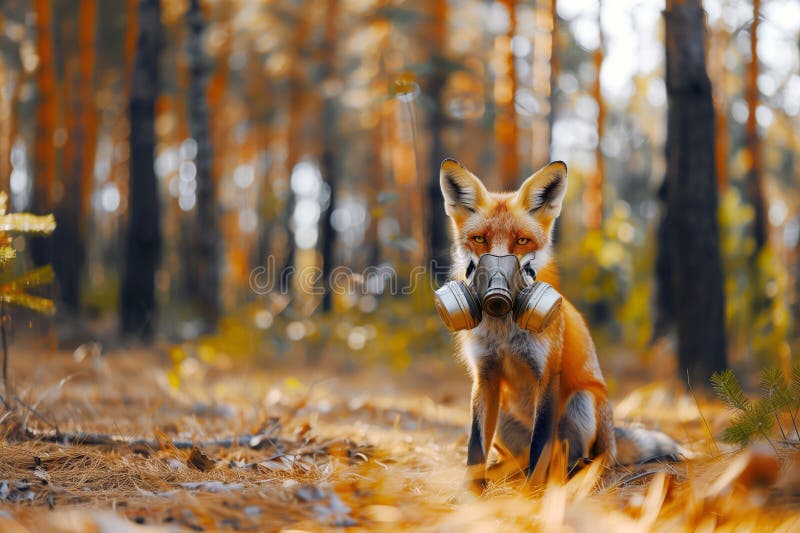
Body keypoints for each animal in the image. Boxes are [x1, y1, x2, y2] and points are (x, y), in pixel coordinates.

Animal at [438, 158, 684, 491]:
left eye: (522, 241)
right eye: (479, 240)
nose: (497, 292)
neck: (504, 333)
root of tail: (613, 438)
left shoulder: (547, 372)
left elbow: (540, 443)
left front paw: (533, 492)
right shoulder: (484, 376)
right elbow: (475, 447)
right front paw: (471, 492)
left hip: (584, 403)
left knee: (581, 457)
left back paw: (576, 475)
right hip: (501, 413)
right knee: (519, 459)